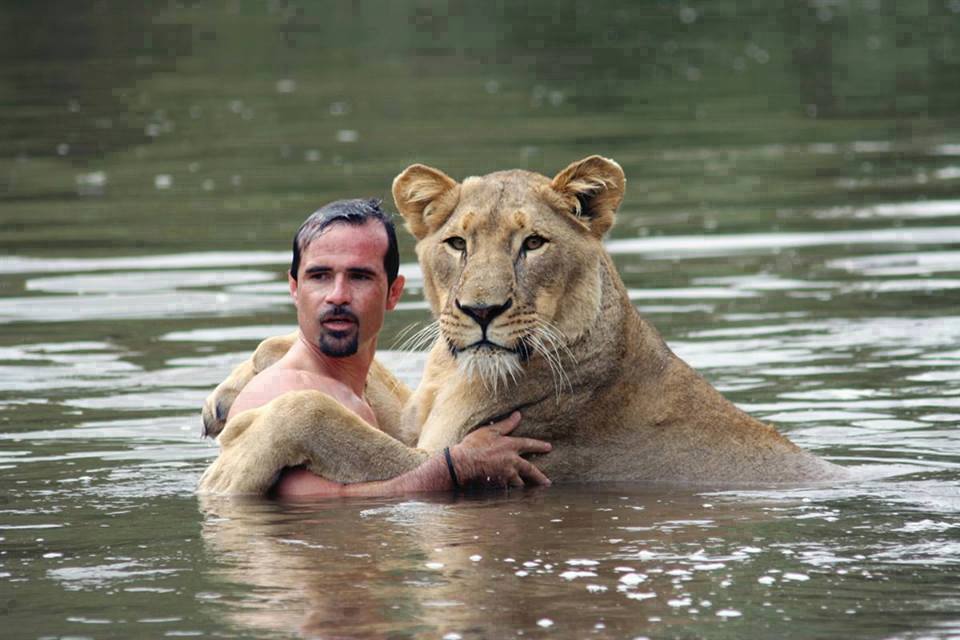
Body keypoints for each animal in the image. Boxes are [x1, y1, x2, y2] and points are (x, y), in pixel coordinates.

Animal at [198, 155, 846, 494]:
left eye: (532, 243)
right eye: (457, 243)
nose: (481, 311)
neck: (458, 373)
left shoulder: (492, 460)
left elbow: (321, 415)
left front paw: (233, 464)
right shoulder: (422, 424)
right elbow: (308, 360)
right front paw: (223, 401)